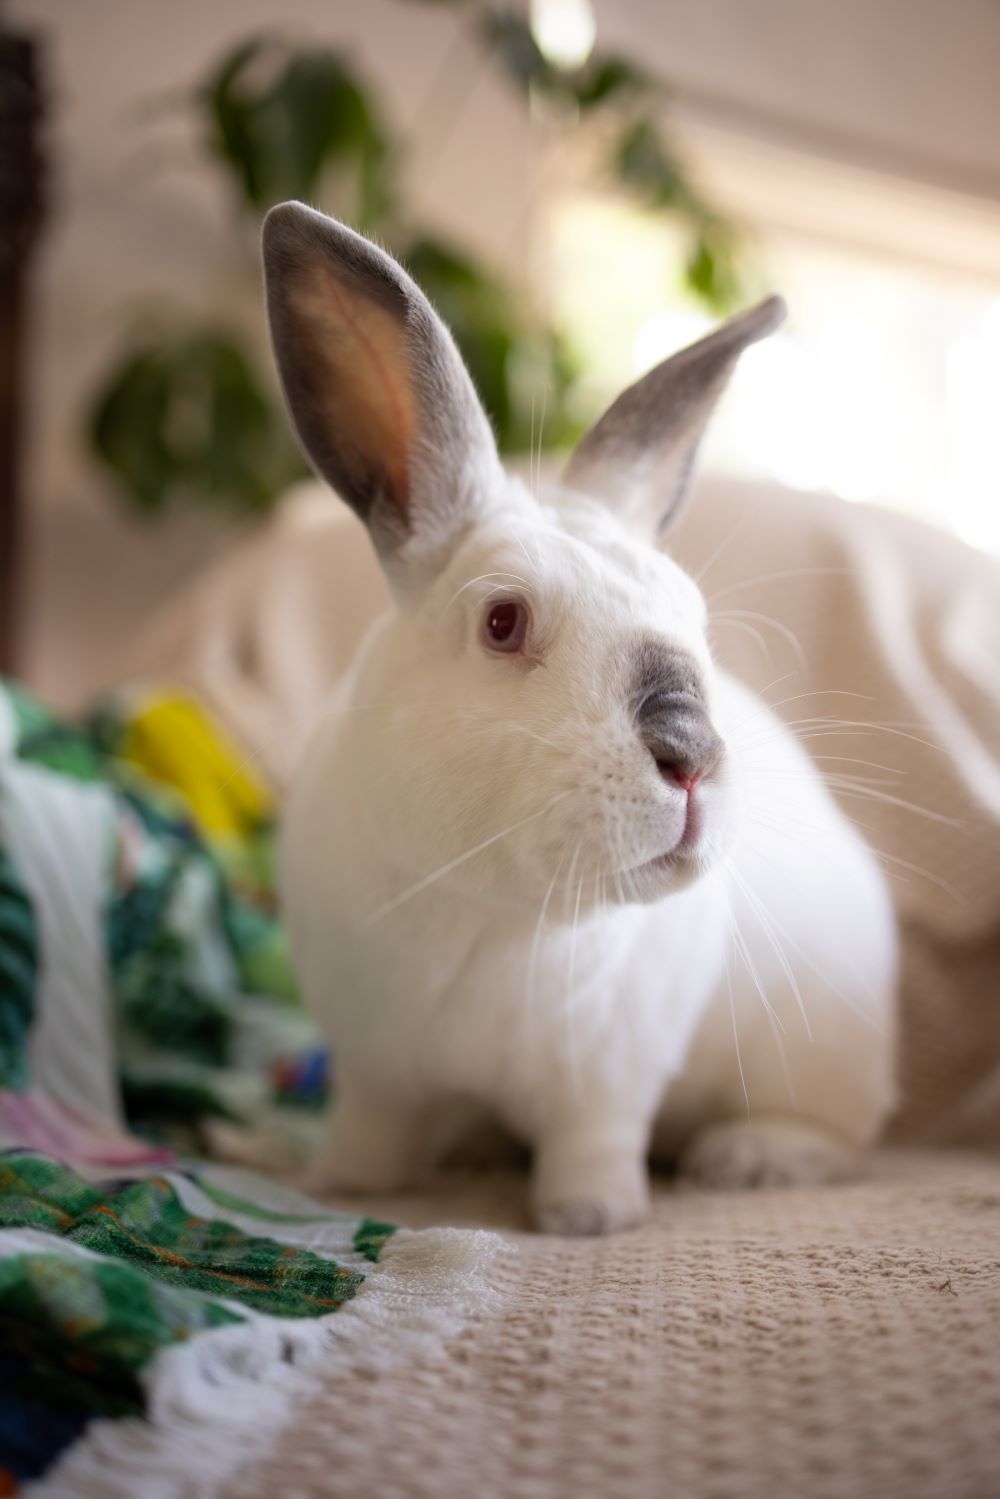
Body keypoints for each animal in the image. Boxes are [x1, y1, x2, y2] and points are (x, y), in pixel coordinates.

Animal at [262, 201, 898, 1235]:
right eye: (503, 621)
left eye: (695, 617)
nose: (690, 754)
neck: (487, 909)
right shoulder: (375, 1067)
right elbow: (372, 1132)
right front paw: (342, 1184)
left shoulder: (607, 1080)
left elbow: (591, 1144)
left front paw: (591, 1218)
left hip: (819, 1057)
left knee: (840, 1135)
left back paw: (748, 1158)